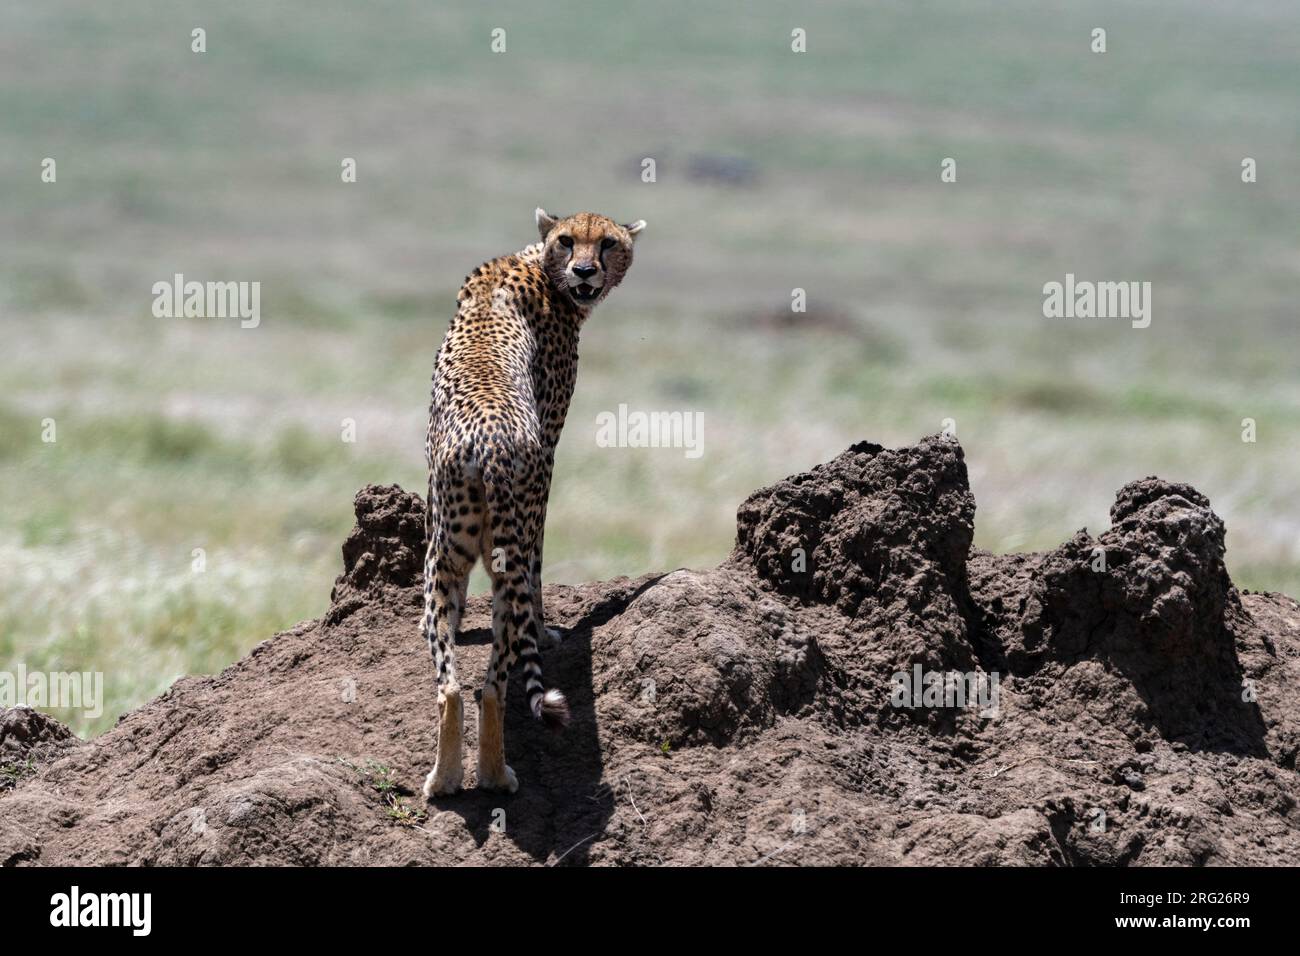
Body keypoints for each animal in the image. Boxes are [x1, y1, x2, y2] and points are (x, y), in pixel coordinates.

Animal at [421, 208, 646, 797]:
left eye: (607, 243)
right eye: (568, 241)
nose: (586, 271)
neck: (539, 266)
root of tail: (487, 446)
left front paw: (451, 623)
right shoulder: (547, 457)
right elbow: (542, 569)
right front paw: (545, 630)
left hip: (448, 554)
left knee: (458, 686)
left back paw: (450, 779)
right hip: (505, 551)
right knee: (494, 680)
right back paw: (494, 776)